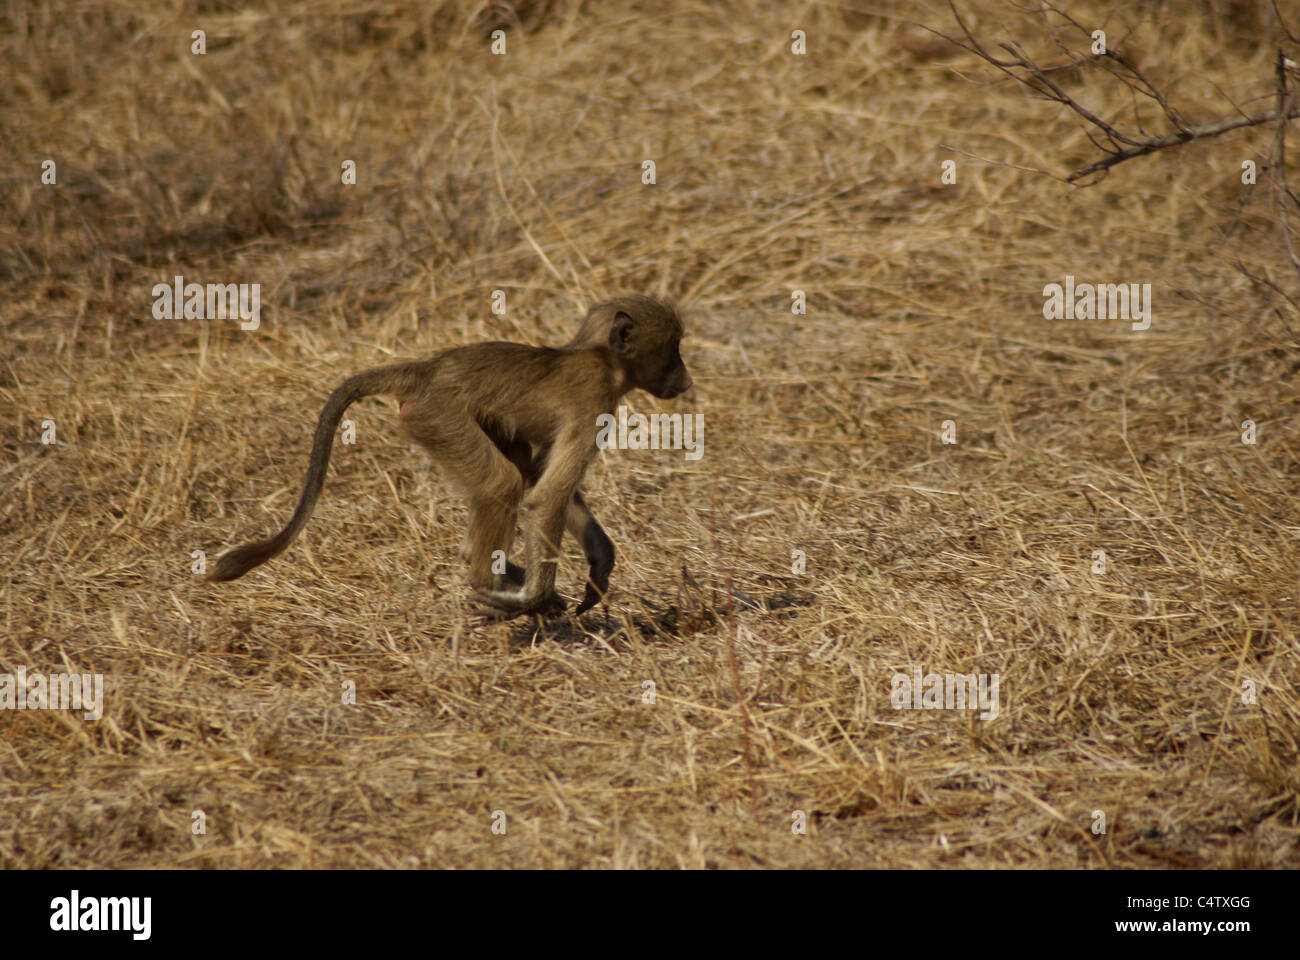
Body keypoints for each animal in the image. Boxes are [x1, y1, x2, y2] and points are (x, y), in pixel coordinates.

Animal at [206, 295, 693, 619]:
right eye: (674, 348)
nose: (687, 381)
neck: (600, 358)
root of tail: (428, 369)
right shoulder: (594, 401)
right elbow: (547, 494)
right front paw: (532, 599)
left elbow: (540, 478)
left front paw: (600, 565)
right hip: (437, 415)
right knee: (502, 483)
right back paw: (490, 585)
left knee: (514, 468)